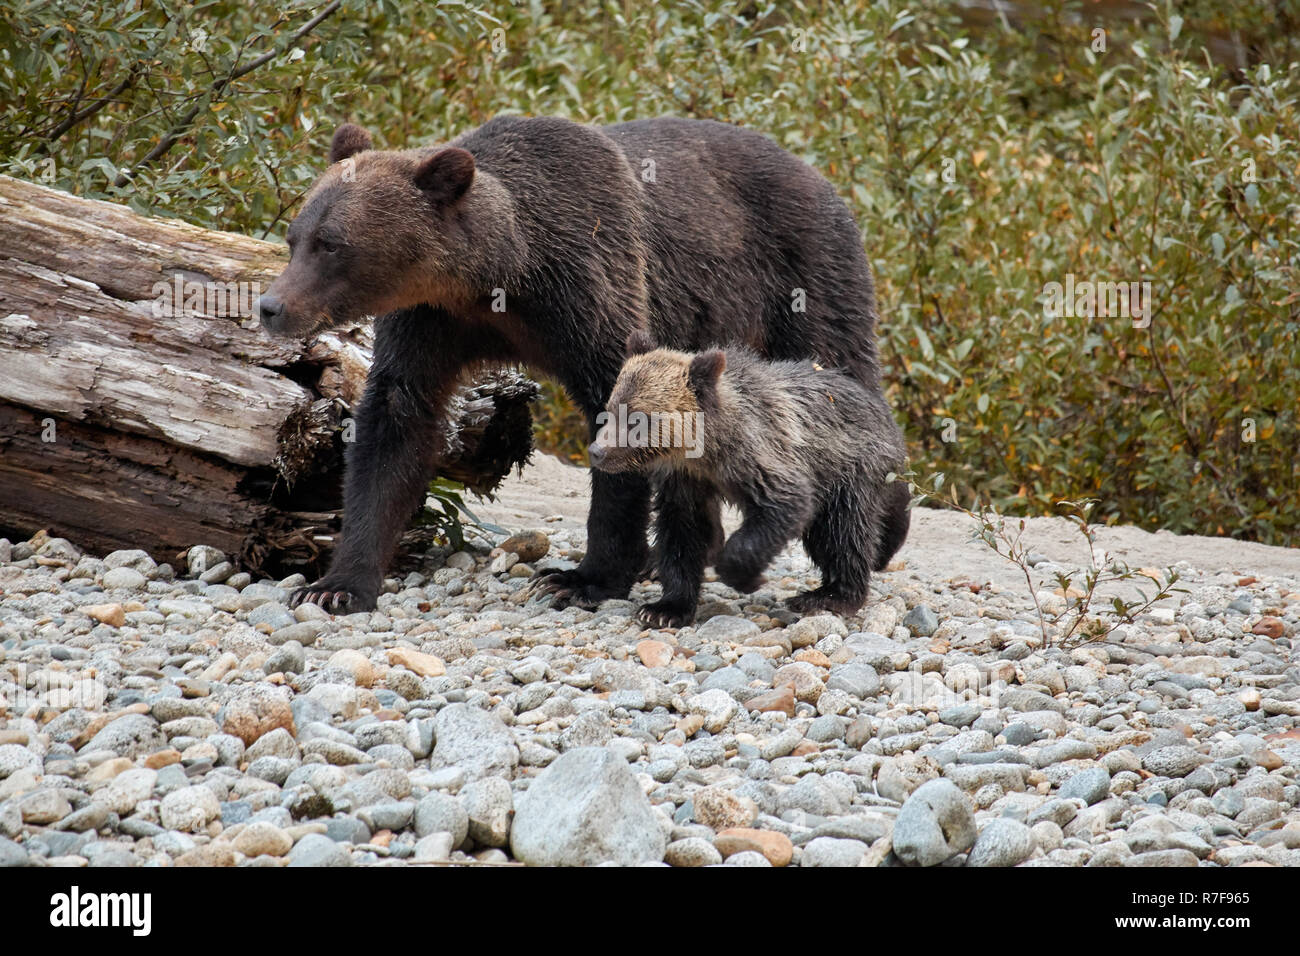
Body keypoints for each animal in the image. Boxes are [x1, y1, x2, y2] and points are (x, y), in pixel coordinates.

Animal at [588, 332, 909, 625]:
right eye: (611, 408)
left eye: (637, 419)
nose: (597, 451)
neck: (706, 452)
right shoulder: (685, 482)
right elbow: (682, 535)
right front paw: (664, 609)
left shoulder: (761, 456)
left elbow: (785, 504)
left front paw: (743, 576)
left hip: (848, 468)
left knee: (842, 531)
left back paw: (827, 596)